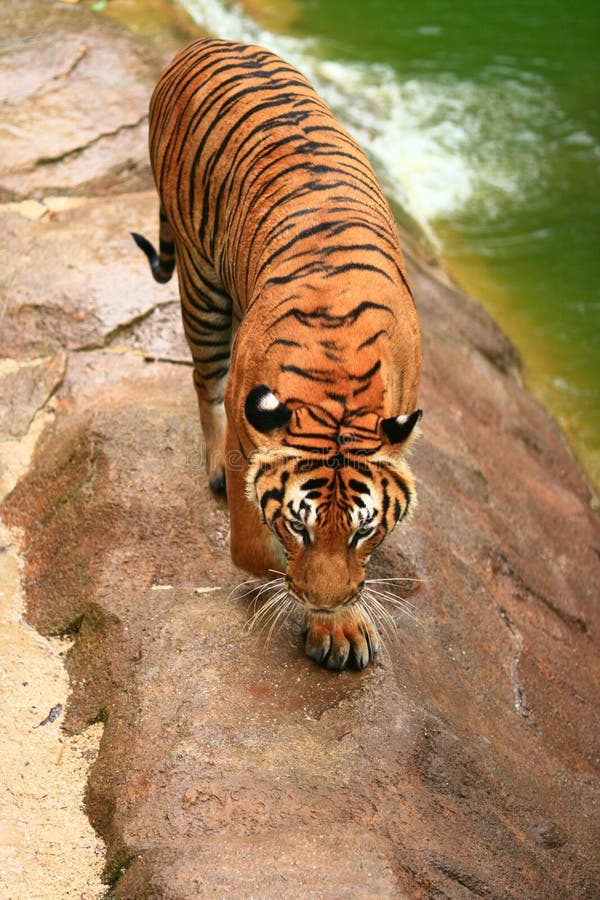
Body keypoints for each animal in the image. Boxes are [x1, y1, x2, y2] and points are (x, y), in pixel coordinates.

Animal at [132, 39, 422, 670]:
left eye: (363, 531)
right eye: (299, 525)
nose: (326, 601)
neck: (338, 383)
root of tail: (204, 41)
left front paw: (338, 622)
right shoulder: (250, 445)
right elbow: (256, 553)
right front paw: (322, 615)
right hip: (202, 287)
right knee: (204, 381)